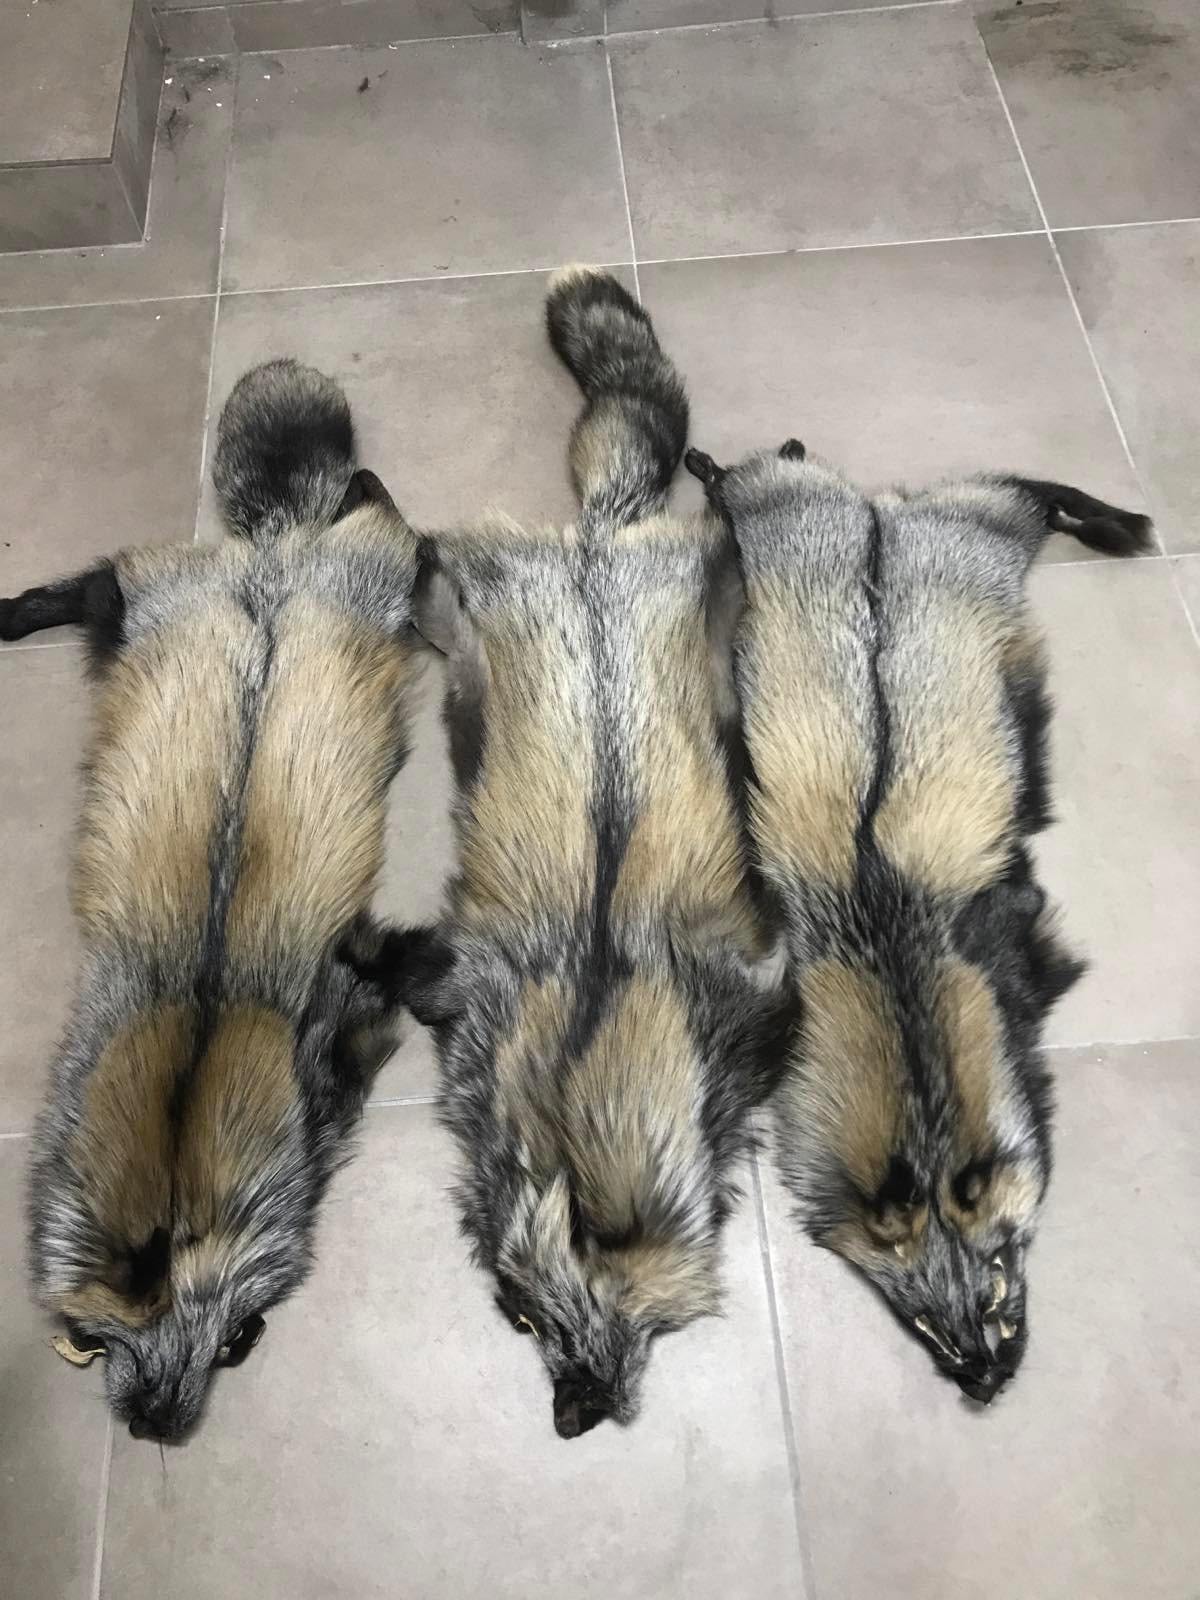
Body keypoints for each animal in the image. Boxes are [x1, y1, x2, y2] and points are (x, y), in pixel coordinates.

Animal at [4, 359, 425, 1440]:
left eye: (235, 1335)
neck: (195, 1020)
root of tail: (271, 554)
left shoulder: (342, 1013)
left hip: (340, 579)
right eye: (102, 1332)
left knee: (380, 518)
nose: (156, 1421)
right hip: (180, 595)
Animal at [374, 270, 793, 1438]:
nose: (571, 1418)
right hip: (474, 636)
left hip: (686, 610)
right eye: (520, 1319)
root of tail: (600, 543)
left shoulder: (743, 1003)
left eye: (549, 1316)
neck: (599, 1006)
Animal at [685, 438, 1152, 1402]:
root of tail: (879, 519)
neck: (888, 957)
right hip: (817, 514)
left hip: (968, 530)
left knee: (1029, 493)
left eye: (1001, 1286)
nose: (986, 1384)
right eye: (921, 1320)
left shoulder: (1009, 938)